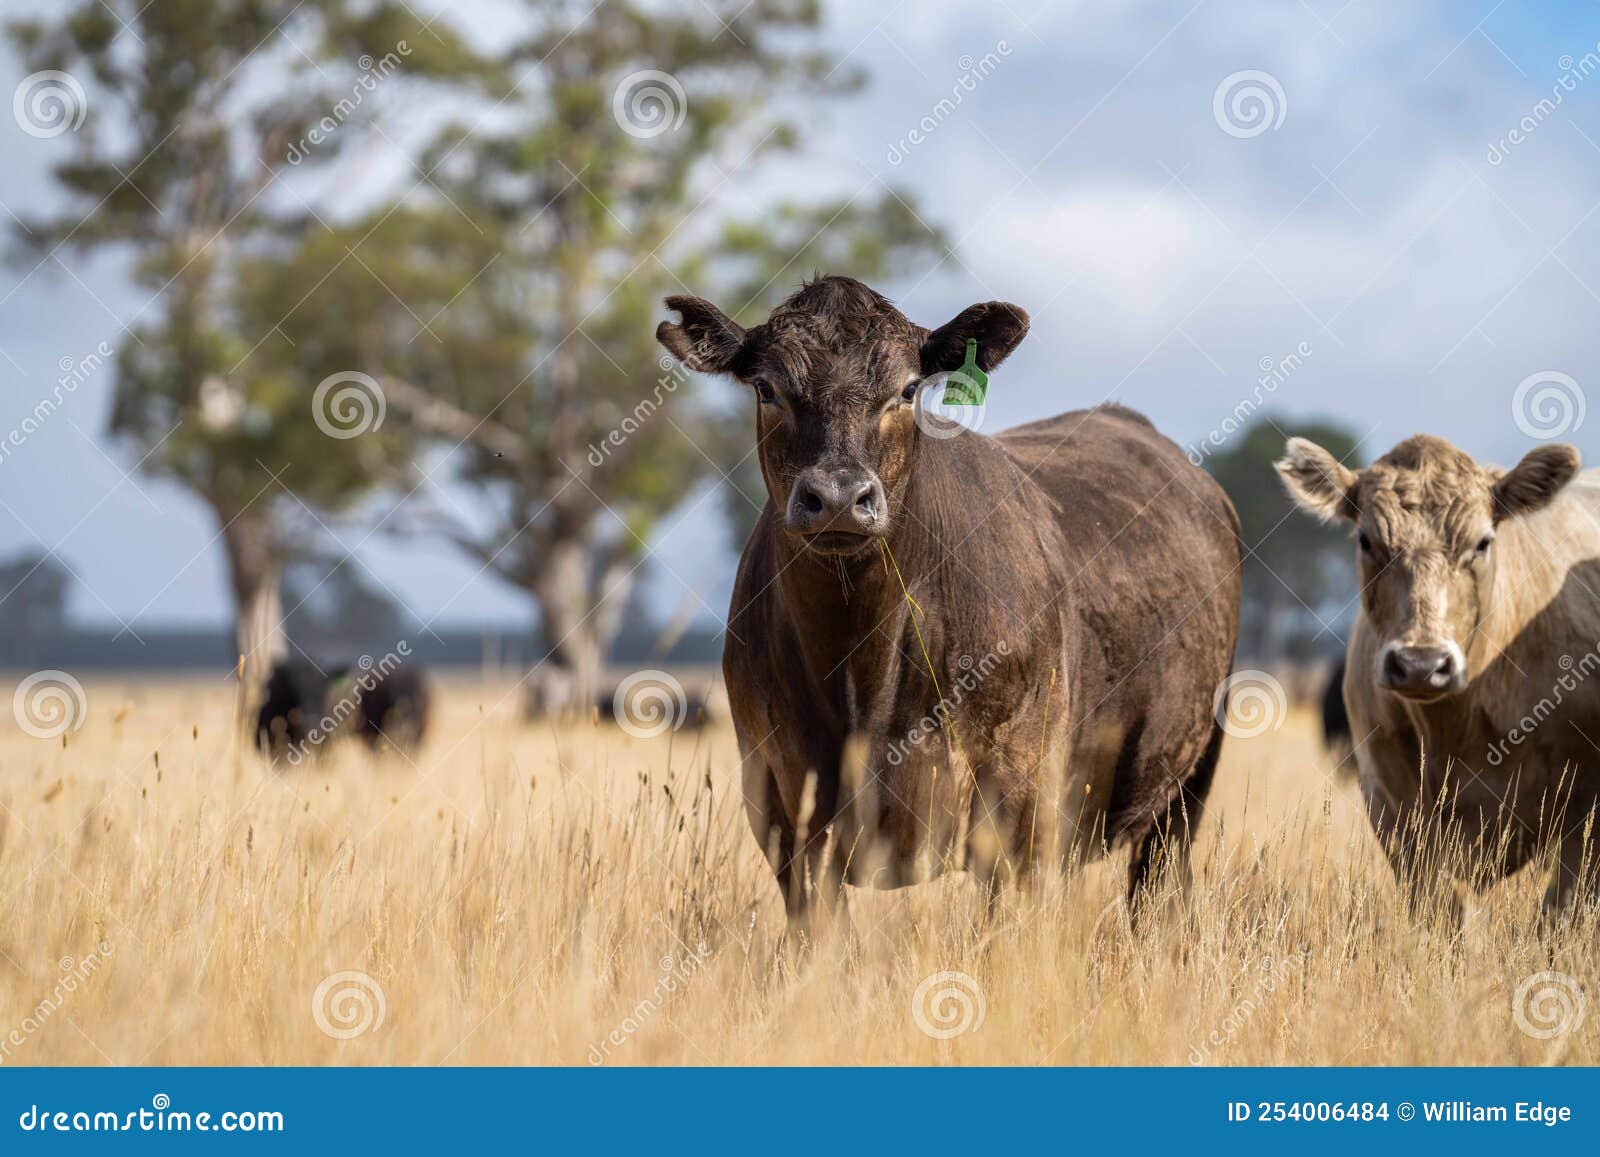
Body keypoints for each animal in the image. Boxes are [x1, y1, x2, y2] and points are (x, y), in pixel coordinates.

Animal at [657, 275, 1242, 927]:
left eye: (909, 389)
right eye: (766, 388)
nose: (838, 497)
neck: (863, 672)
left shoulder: (1021, 802)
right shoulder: (784, 810)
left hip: (1184, 786)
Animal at [1277, 433, 1600, 920]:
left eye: (1482, 542)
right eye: (1367, 540)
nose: (1421, 664)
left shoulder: (1585, 814)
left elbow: (1561, 912)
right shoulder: (1391, 802)